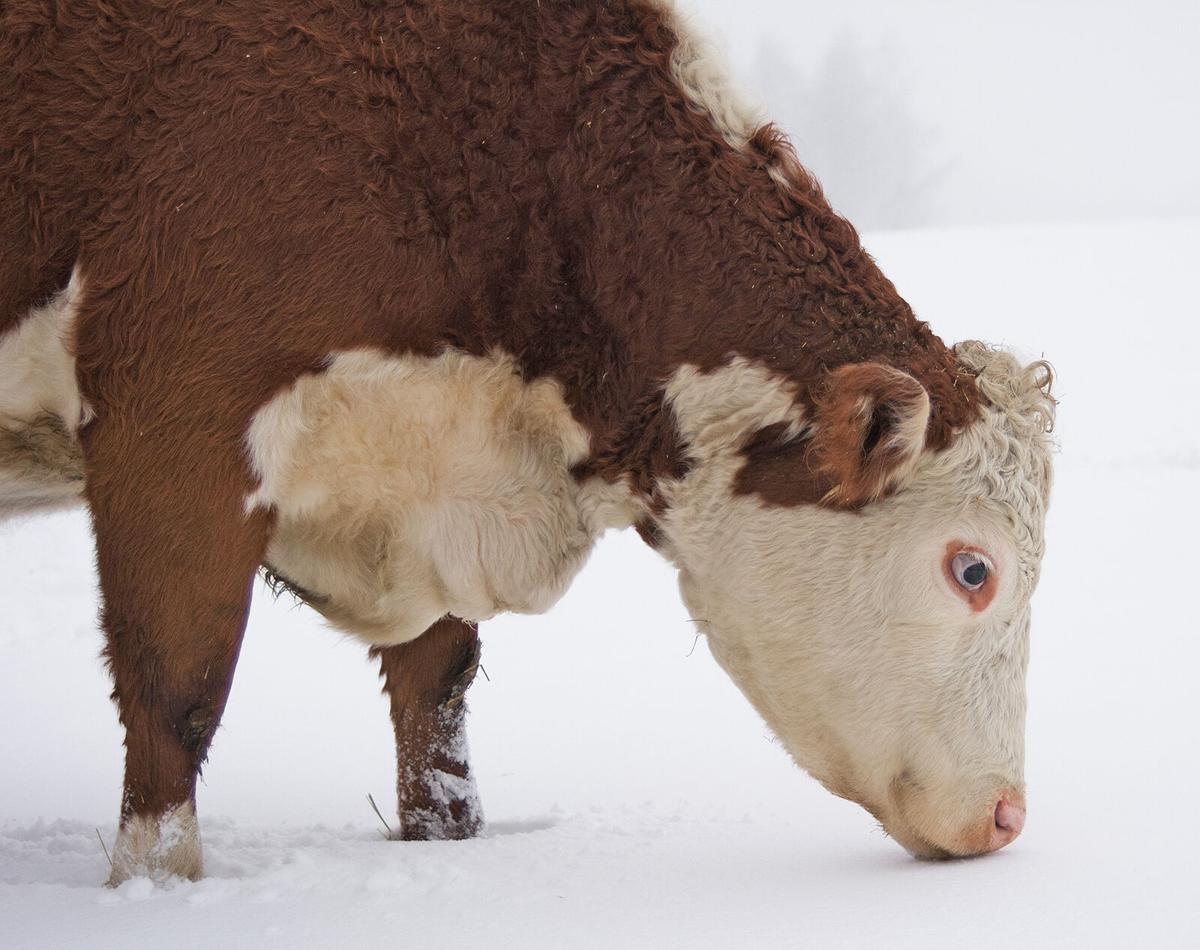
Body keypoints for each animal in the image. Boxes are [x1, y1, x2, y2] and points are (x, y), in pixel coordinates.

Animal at [0, 0, 1055, 884]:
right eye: (973, 570)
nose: (1008, 816)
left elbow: (437, 697)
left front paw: (448, 846)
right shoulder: (176, 418)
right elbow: (176, 687)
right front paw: (155, 888)